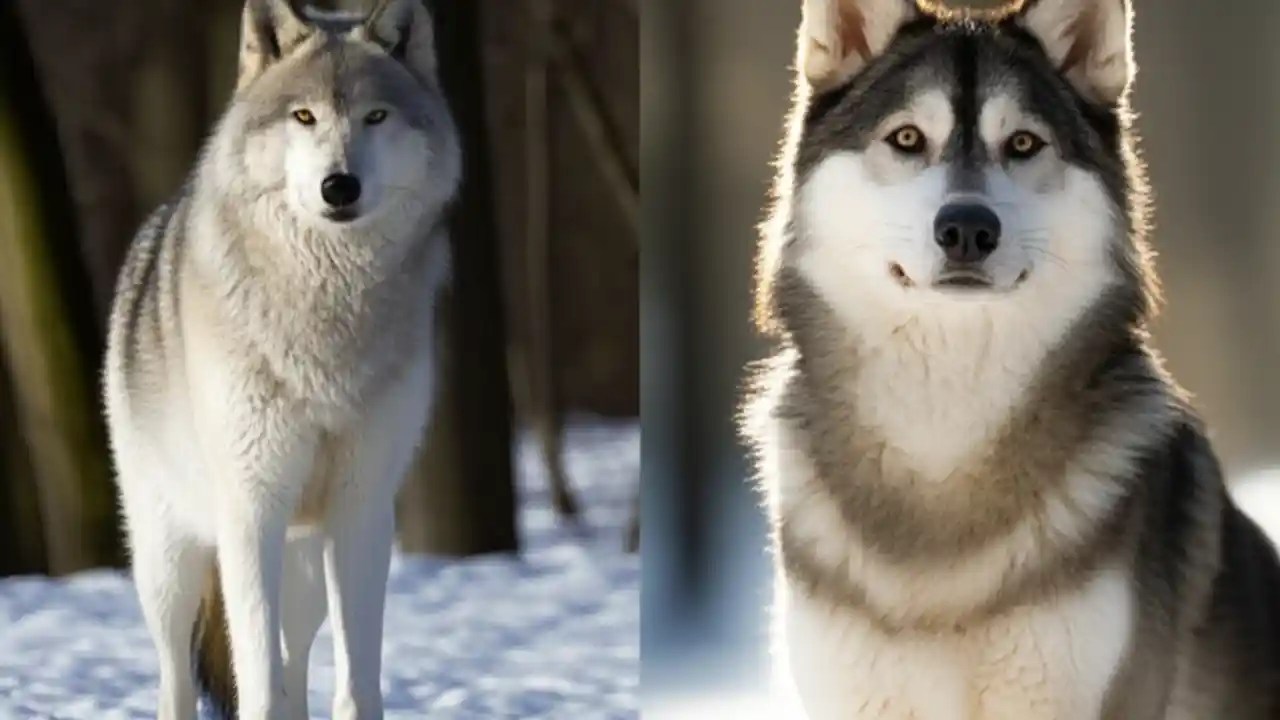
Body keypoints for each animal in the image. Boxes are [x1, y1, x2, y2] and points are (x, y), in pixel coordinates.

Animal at [103, 0, 459, 717]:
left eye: (375, 116)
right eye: (304, 116)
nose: (339, 185)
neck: (326, 323)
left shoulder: (361, 509)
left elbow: (354, 683)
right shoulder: (251, 509)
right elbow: (257, 684)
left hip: (304, 574)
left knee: (295, 668)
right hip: (171, 563)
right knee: (178, 679)